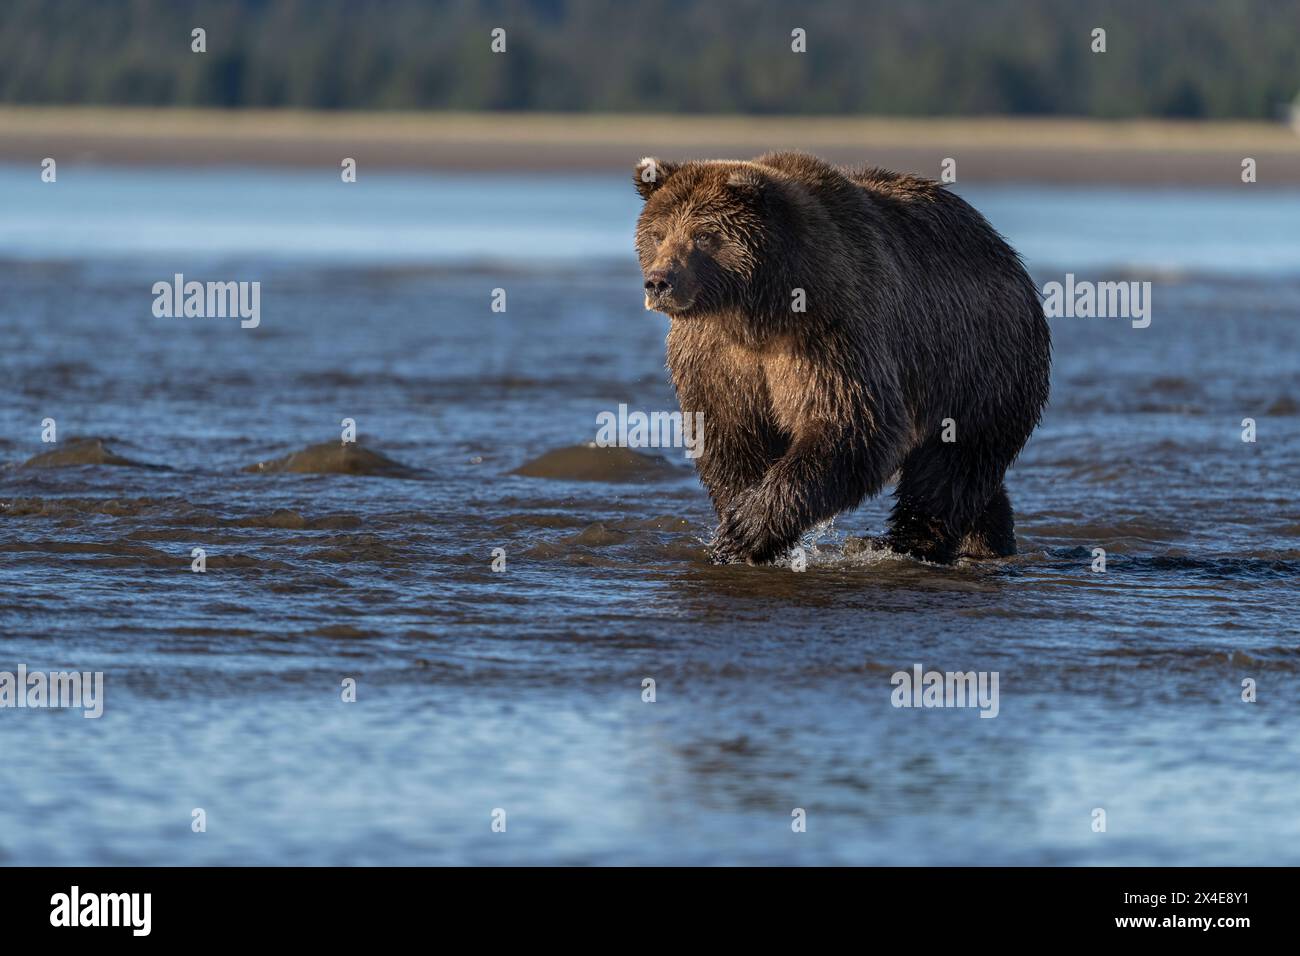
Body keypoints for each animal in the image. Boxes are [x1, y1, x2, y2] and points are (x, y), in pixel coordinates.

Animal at [633, 151, 1050, 566]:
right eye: (658, 234)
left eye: (704, 235)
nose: (659, 281)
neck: (755, 312)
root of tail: (1004, 251)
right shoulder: (715, 356)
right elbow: (729, 435)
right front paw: (738, 526)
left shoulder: (830, 331)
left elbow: (852, 425)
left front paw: (743, 532)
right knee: (973, 482)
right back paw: (990, 540)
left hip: (980, 362)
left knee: (950, 468)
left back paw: (910, 544)